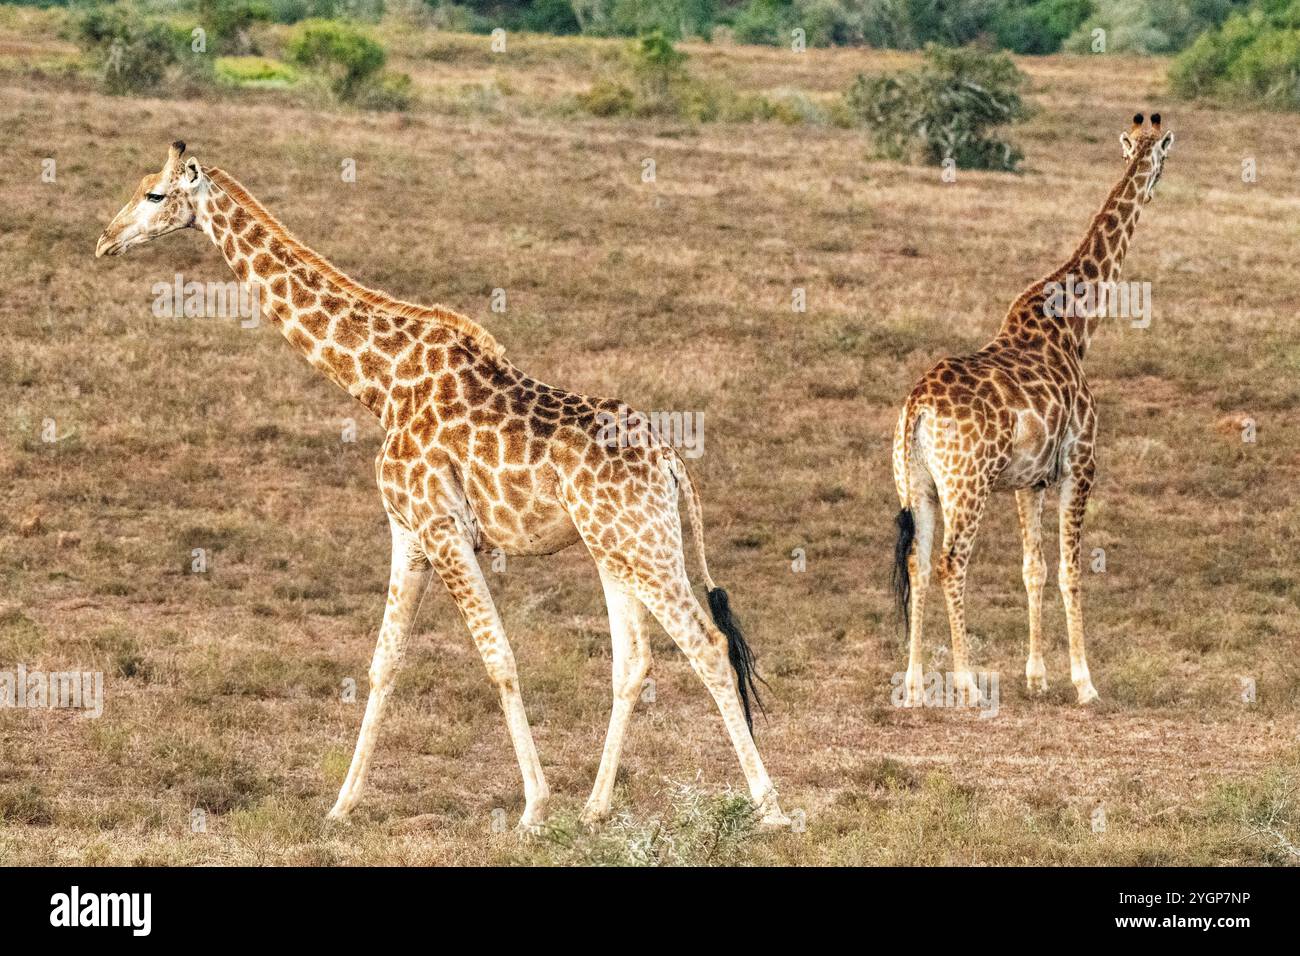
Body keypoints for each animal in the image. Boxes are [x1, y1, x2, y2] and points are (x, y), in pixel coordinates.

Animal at [96, 142, 790, 830]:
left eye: (155, 193)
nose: (105, 240)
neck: (378, 383)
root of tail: (671, 458)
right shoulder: (408, 531)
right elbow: (384, 661)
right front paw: (341, 806)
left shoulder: (441, 526)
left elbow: (498, 658)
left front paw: (533, 808)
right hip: (616, 549)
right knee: (635, 661)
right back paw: (595, 809)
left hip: (645, 547)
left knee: (707, 645)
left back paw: (770, 809)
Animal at [889, 113, 1175, 707]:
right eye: (1163, 154)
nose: (1155, 187)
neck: (1076, 325)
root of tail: (917, 409)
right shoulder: (1080, 465)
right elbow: (1069, 570)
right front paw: (1085, 683)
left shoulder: (1029, 481)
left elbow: (1033, 569)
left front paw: (1037, 677)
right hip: (967, 484)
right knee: (951, 563)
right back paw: (968, 686)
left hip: (916, 483)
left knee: (918, 561)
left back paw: (913, 684)